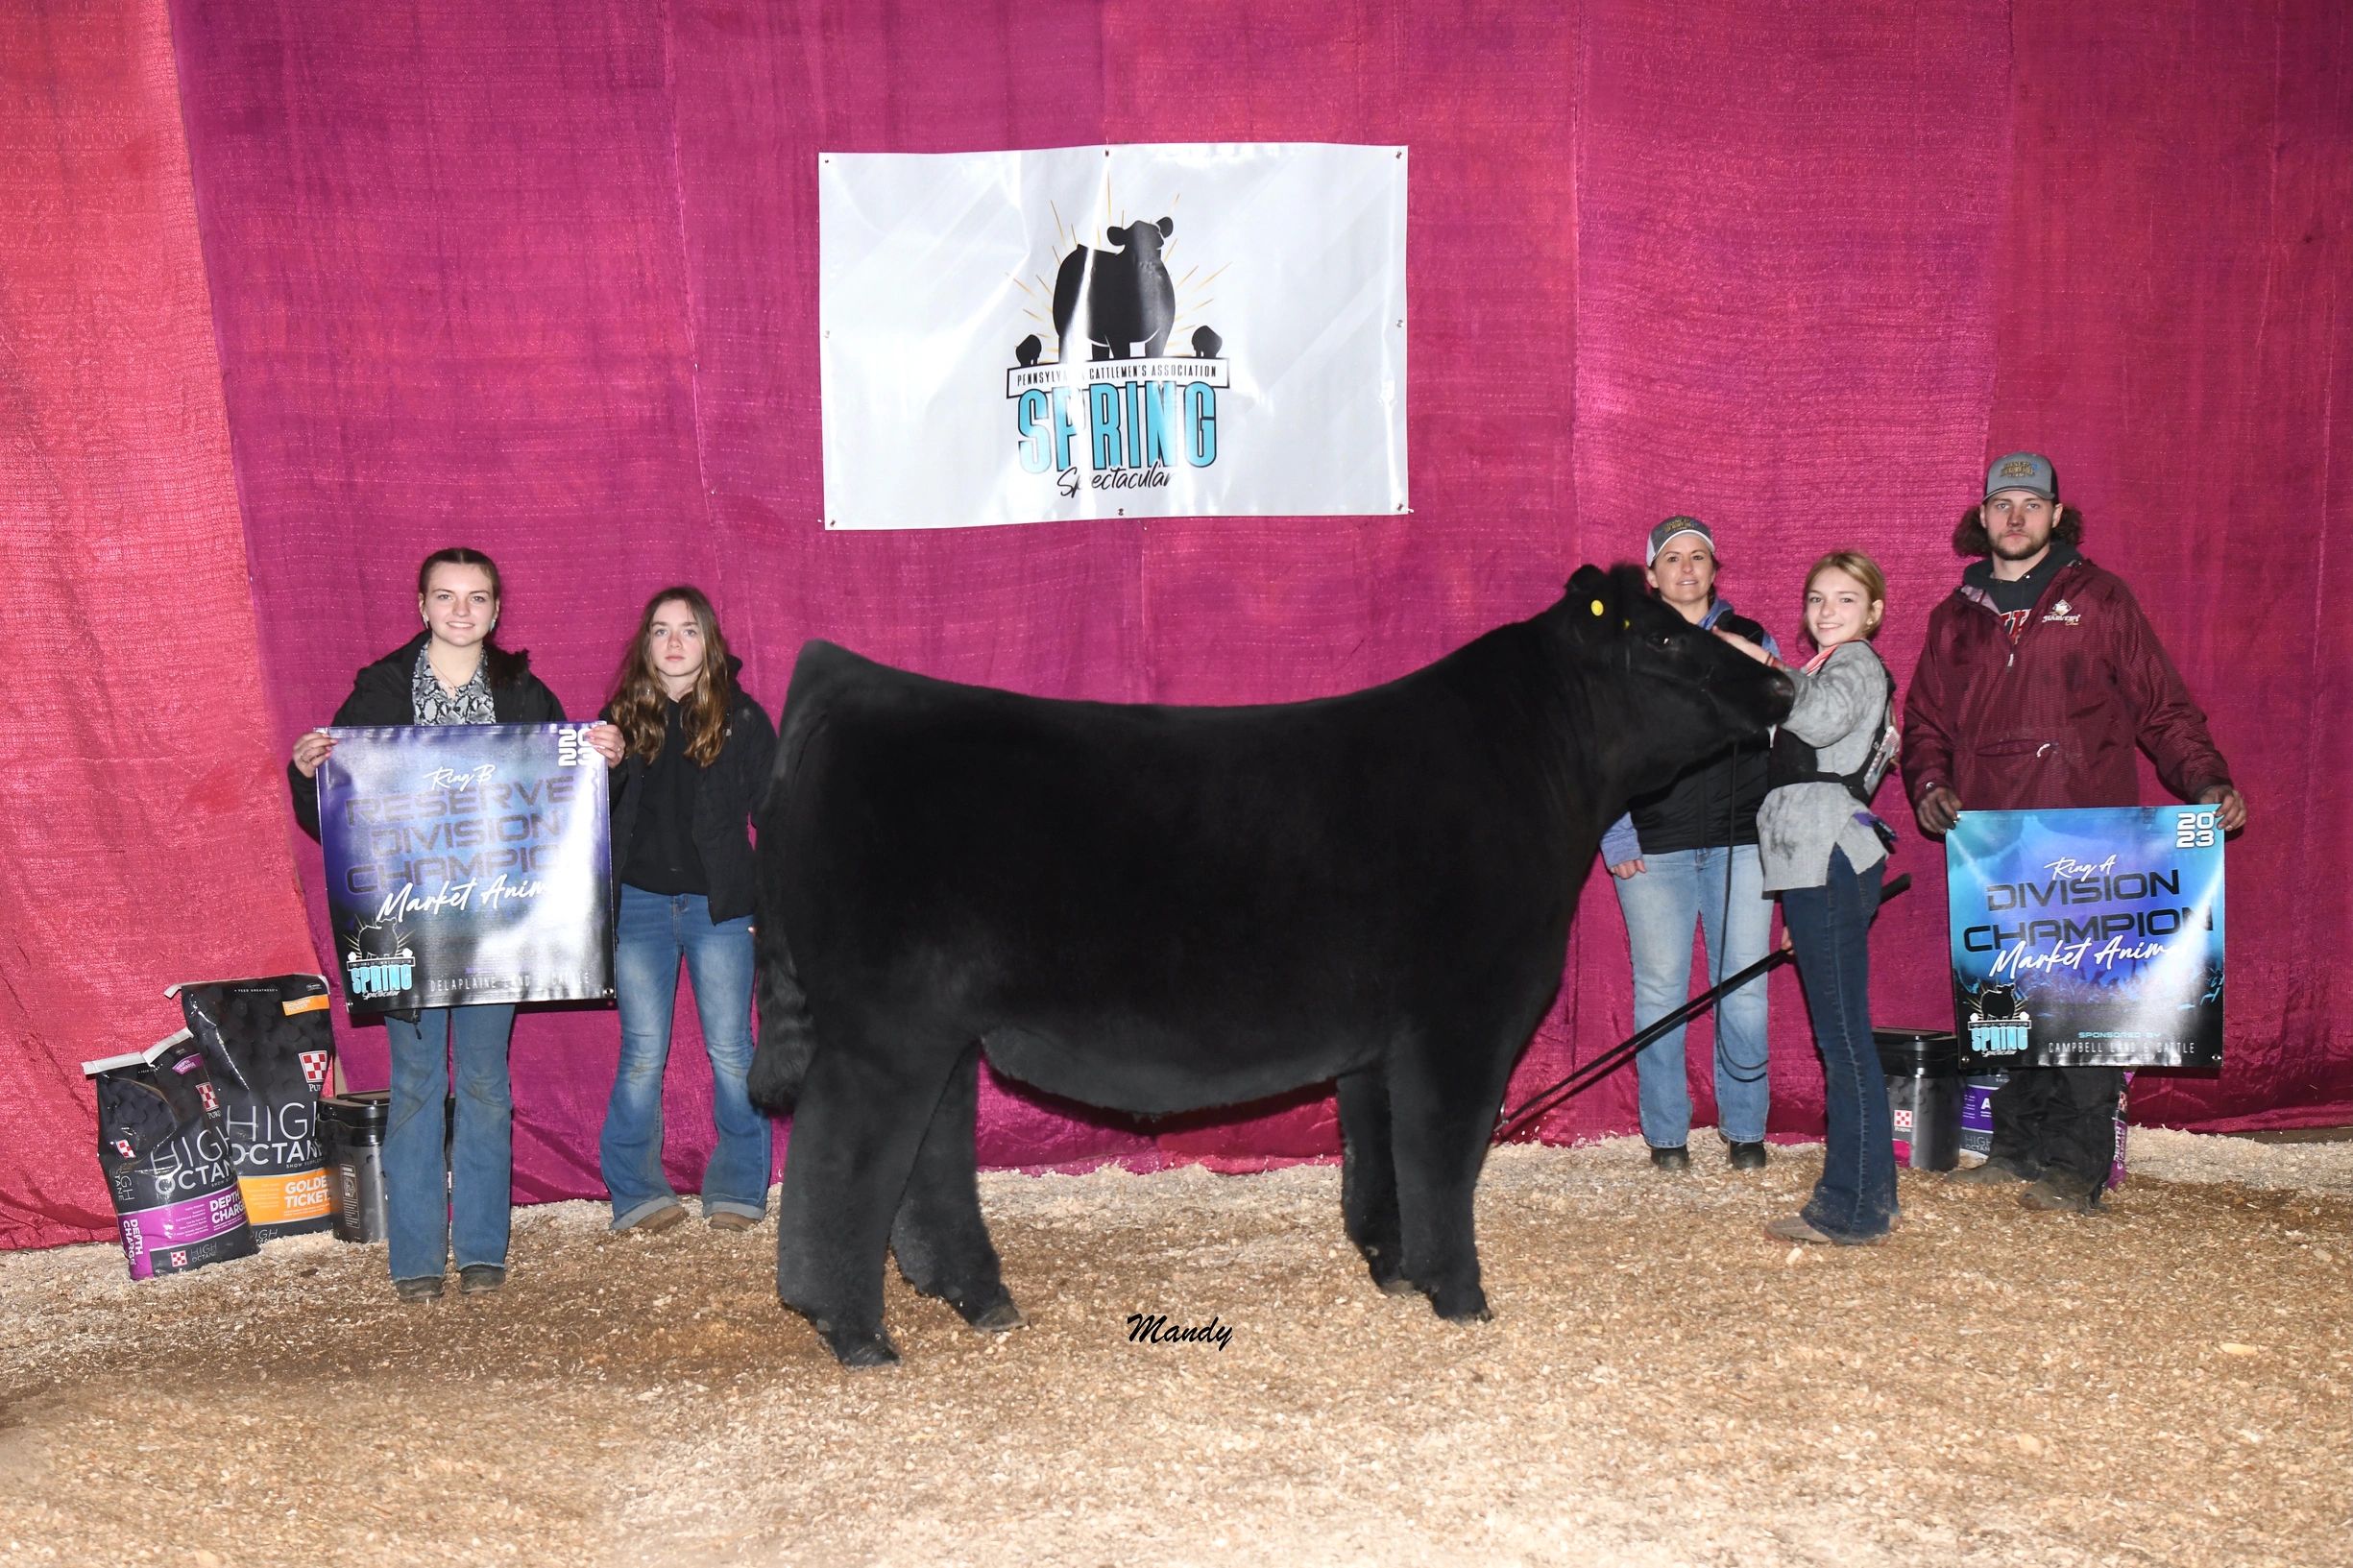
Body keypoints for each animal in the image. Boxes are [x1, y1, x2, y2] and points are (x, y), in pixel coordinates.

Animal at [747, 564, 1793, 1366]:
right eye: (1662, 639)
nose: (1781, 687)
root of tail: (844, 682)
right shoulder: (1462, 1018)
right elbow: (1443, 1159)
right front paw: (1459, 1294)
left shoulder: (1382, 1039)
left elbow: (1378, 1153)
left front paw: (1391, 1268)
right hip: (884, 1026)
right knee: (839, 1163)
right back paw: (855, 1333)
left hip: (938, 1029)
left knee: (928, 1158)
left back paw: (979, 1299)